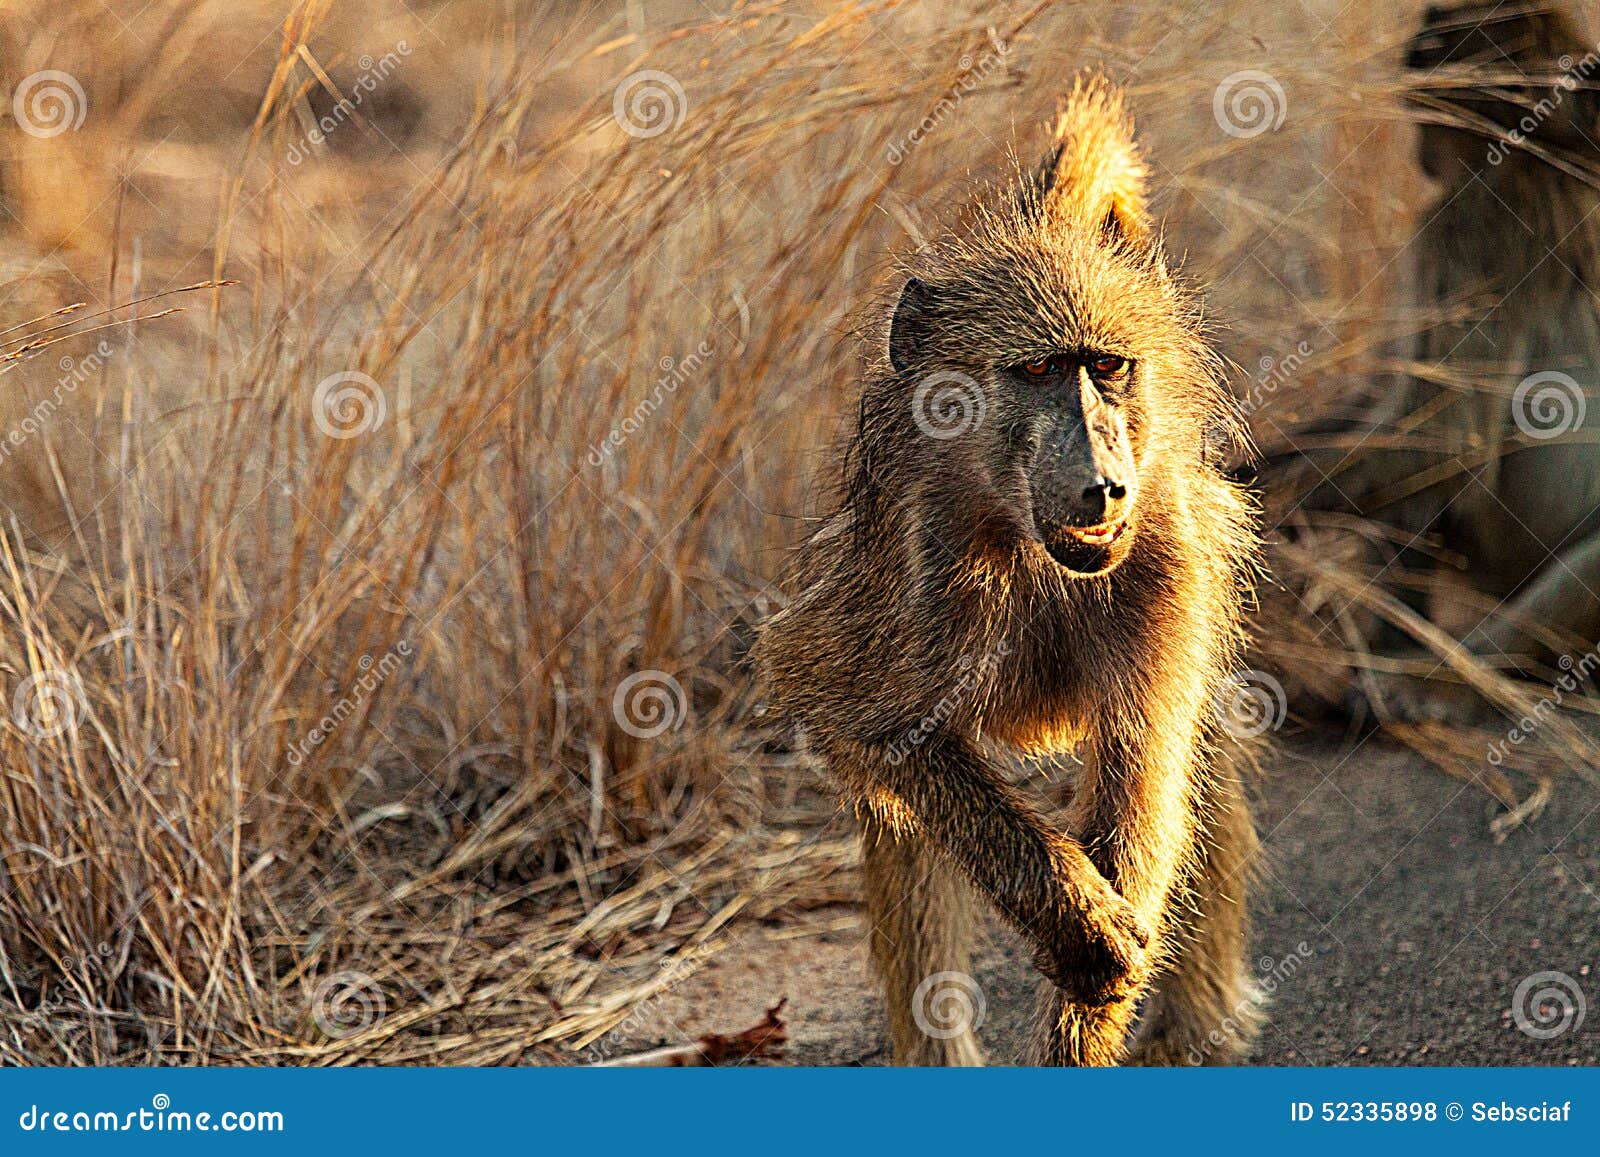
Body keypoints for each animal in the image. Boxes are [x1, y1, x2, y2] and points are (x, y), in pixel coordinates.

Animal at [754, 78, 1261, 1067]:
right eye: (1034, 369)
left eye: (1107, 367)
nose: (1103, 484)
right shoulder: (904, 585)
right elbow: (876, 730)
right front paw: (1082, 925)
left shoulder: (1171, 565)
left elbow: (1147, 762)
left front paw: (1092, 1010)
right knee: (908, 833)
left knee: (1201, 759)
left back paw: (1196, 1027)